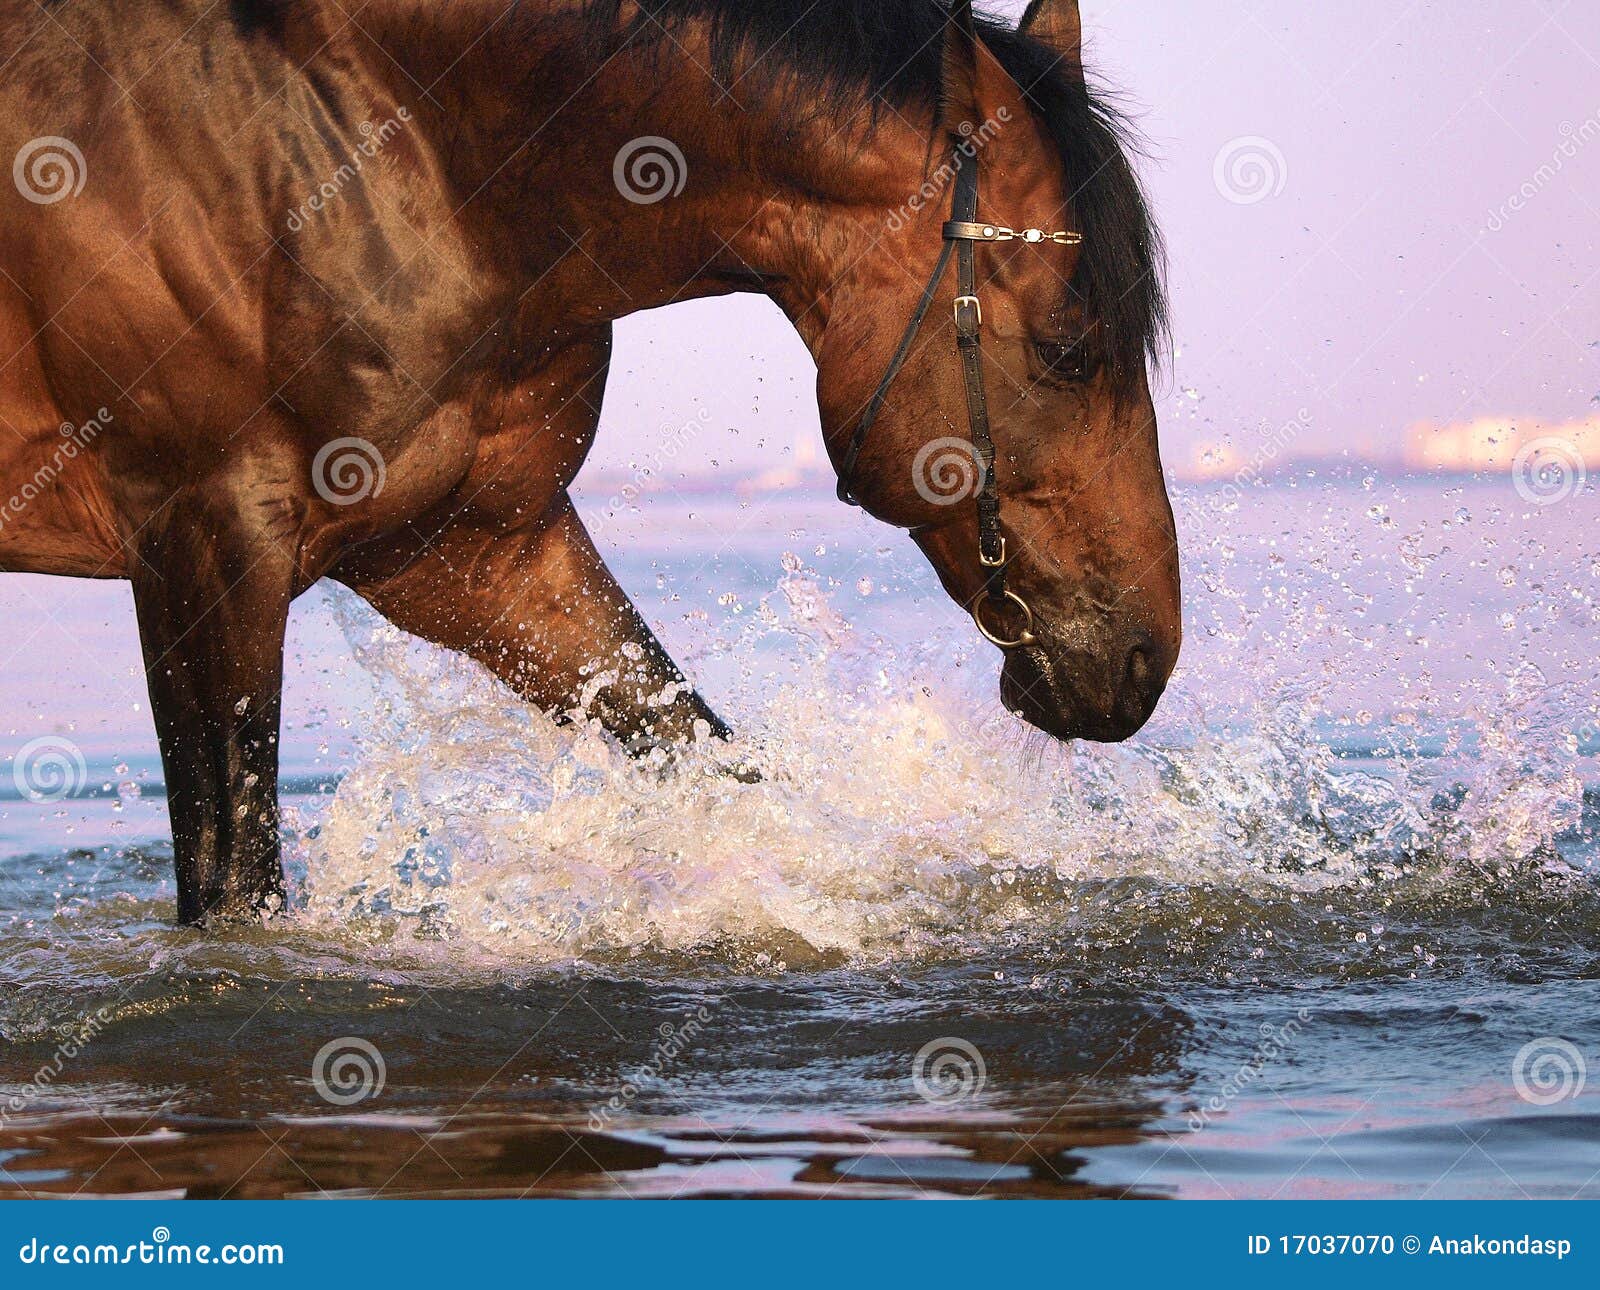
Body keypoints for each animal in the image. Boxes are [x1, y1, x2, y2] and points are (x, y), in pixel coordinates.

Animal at [0, 0, 1179, 925]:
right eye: (1069, 350)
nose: (1142, 660)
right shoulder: (206, 541)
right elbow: (233, 888)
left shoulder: (468, 548)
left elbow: (715, 761)